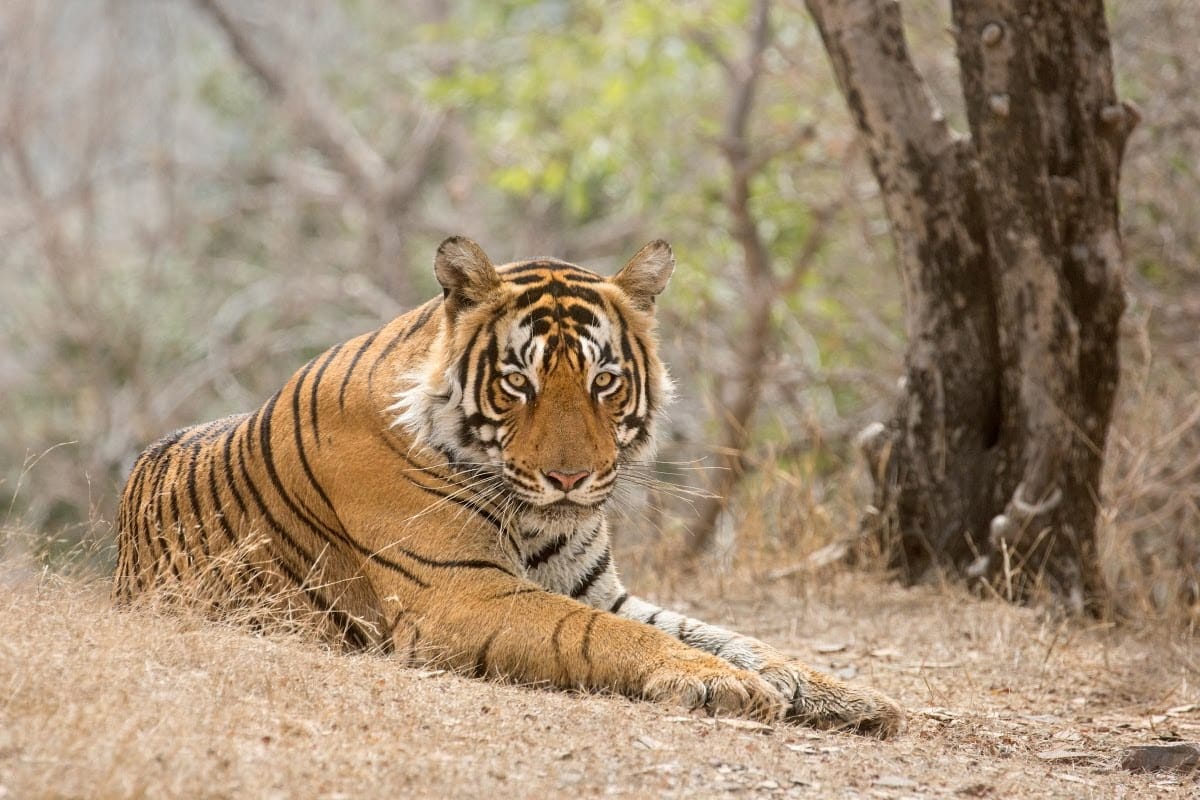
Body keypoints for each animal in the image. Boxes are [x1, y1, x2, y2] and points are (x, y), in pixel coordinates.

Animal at [114, 236, 903, 736]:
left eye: (604, 380)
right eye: (519, 381)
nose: (569, 477)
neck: (537, 519)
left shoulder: (597, 587)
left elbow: (729, 634)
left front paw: (845, 693)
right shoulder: (460, 594)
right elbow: (600, 635)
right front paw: (721, 683)